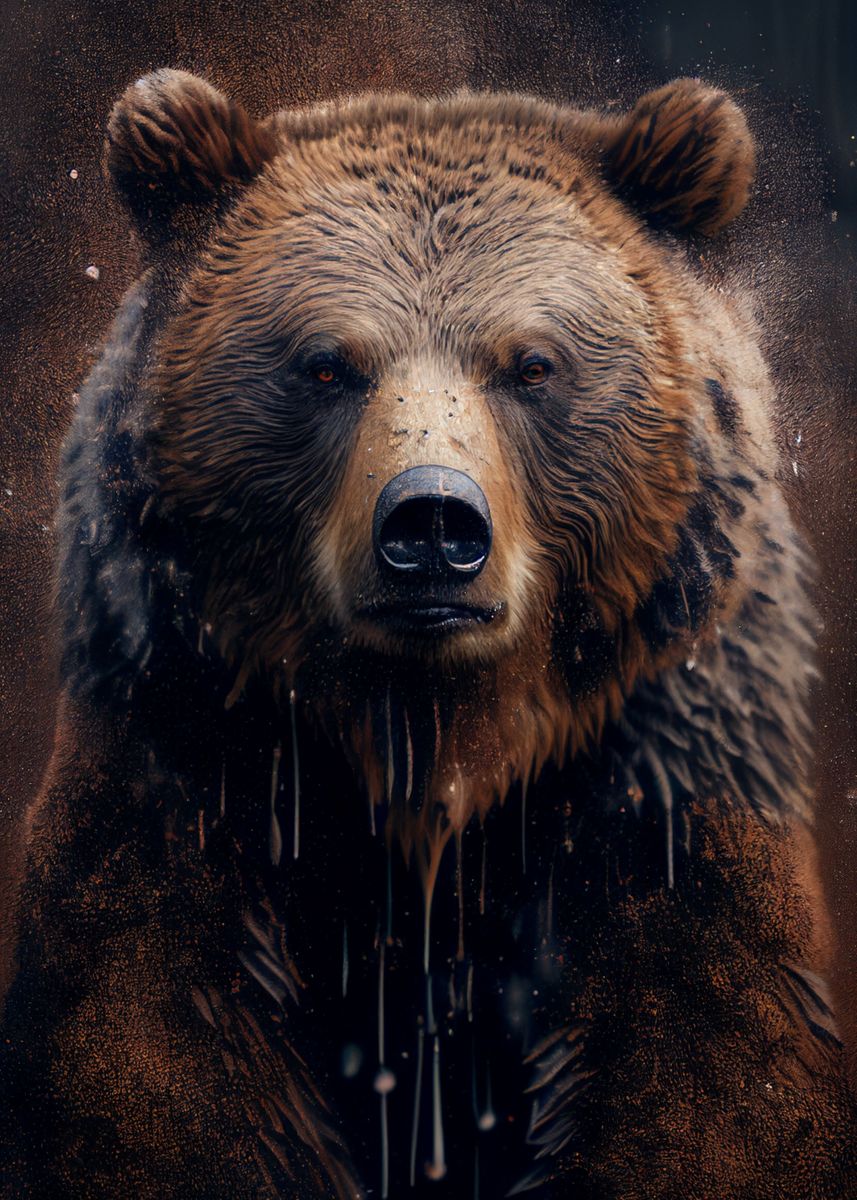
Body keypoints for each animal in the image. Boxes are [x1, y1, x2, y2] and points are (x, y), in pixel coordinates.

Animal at [0, 67, 854, 1199]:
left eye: (532, 363)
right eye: (324, 363)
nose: (434, 525)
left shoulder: (657, 802)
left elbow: (708, 1071)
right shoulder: (187, 776)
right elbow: (151, 1057)